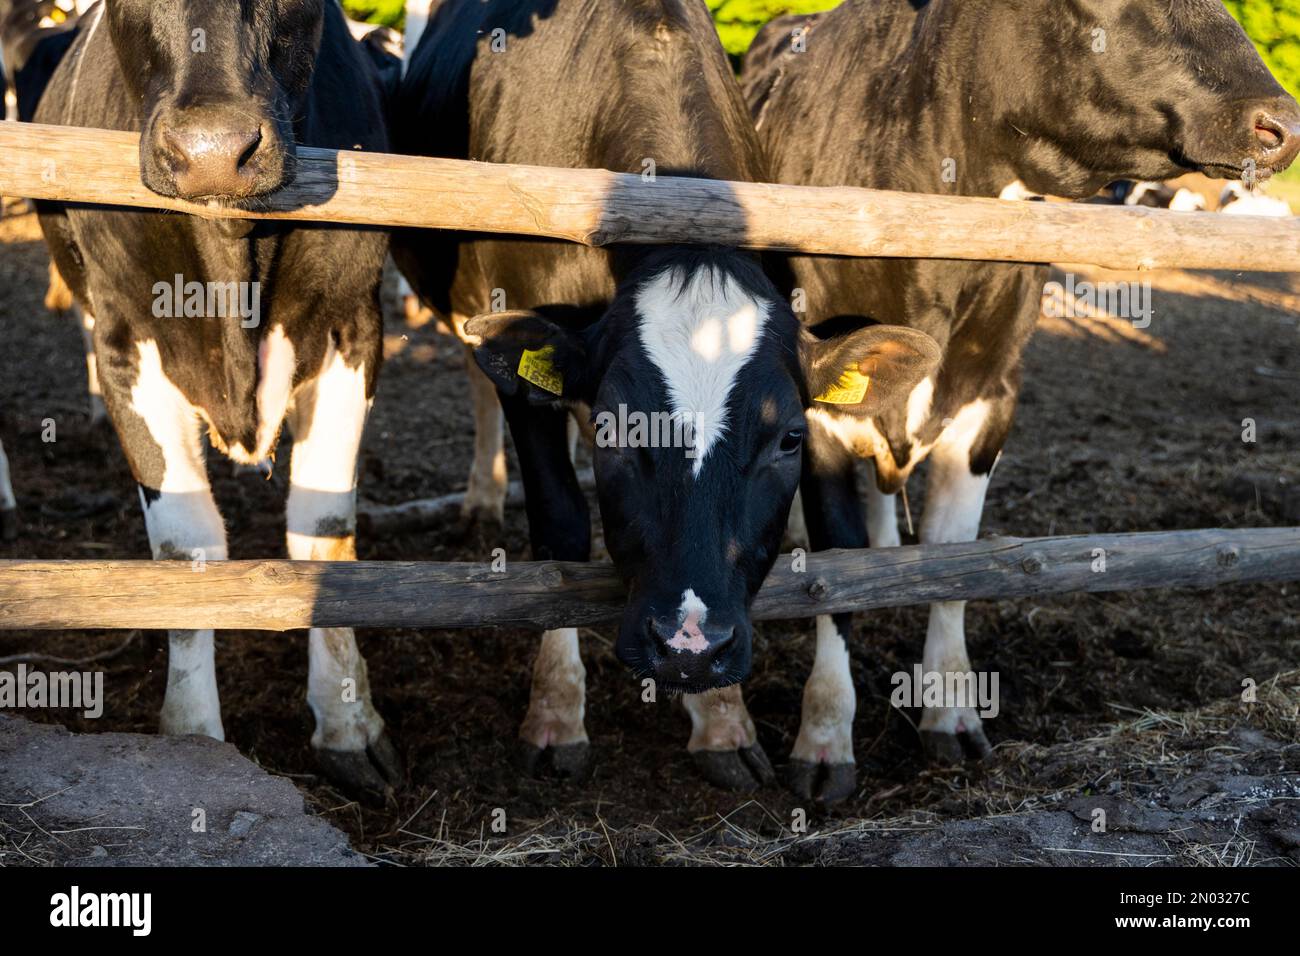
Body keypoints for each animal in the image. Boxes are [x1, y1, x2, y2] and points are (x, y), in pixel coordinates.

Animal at [33, 0, 399, 798]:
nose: (211, 151)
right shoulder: (125, 343)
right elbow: (185, 544)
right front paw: (193, 741)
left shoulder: (354, 323)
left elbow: (323, 527)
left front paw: (347, 724)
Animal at [392, 0, 942, 789]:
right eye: (618, 430)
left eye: (790, 438)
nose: (689, 644)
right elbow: (560, 526)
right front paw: (557, 716)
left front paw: (728, 723)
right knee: (479, 379)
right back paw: (482, 498)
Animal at [741, 0, 1300, 800]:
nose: (1283, 122)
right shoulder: (817, 411)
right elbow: (832, 578)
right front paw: (823, 741)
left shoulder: (990, 401)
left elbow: (956, 561)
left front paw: (951, 715)